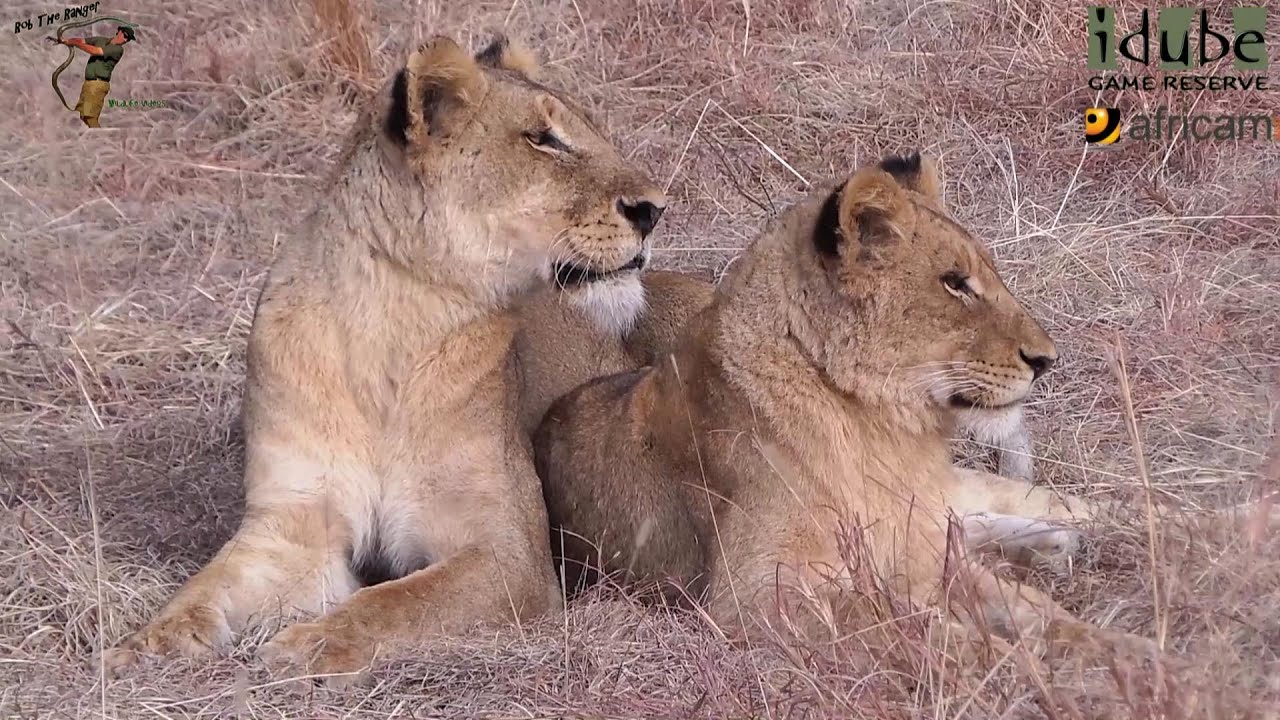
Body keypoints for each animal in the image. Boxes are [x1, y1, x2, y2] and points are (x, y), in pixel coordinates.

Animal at [102, 35, 668, 682]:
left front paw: (309, 645)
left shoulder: (509, 552)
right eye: (542, 139)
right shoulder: (292, 528)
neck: (396, 319)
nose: (655, 209)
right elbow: (206, 589)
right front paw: (147, 646)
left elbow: (395, 600)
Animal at [532, 152, 1160, 658]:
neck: (882, 430)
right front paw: (1029, 670)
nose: (1047, 359)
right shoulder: (757, 598)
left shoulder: (929, 554)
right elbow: (911, 627)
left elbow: (1037, 614)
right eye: (955, 283)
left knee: (1067, 507)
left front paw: (1132, 656)